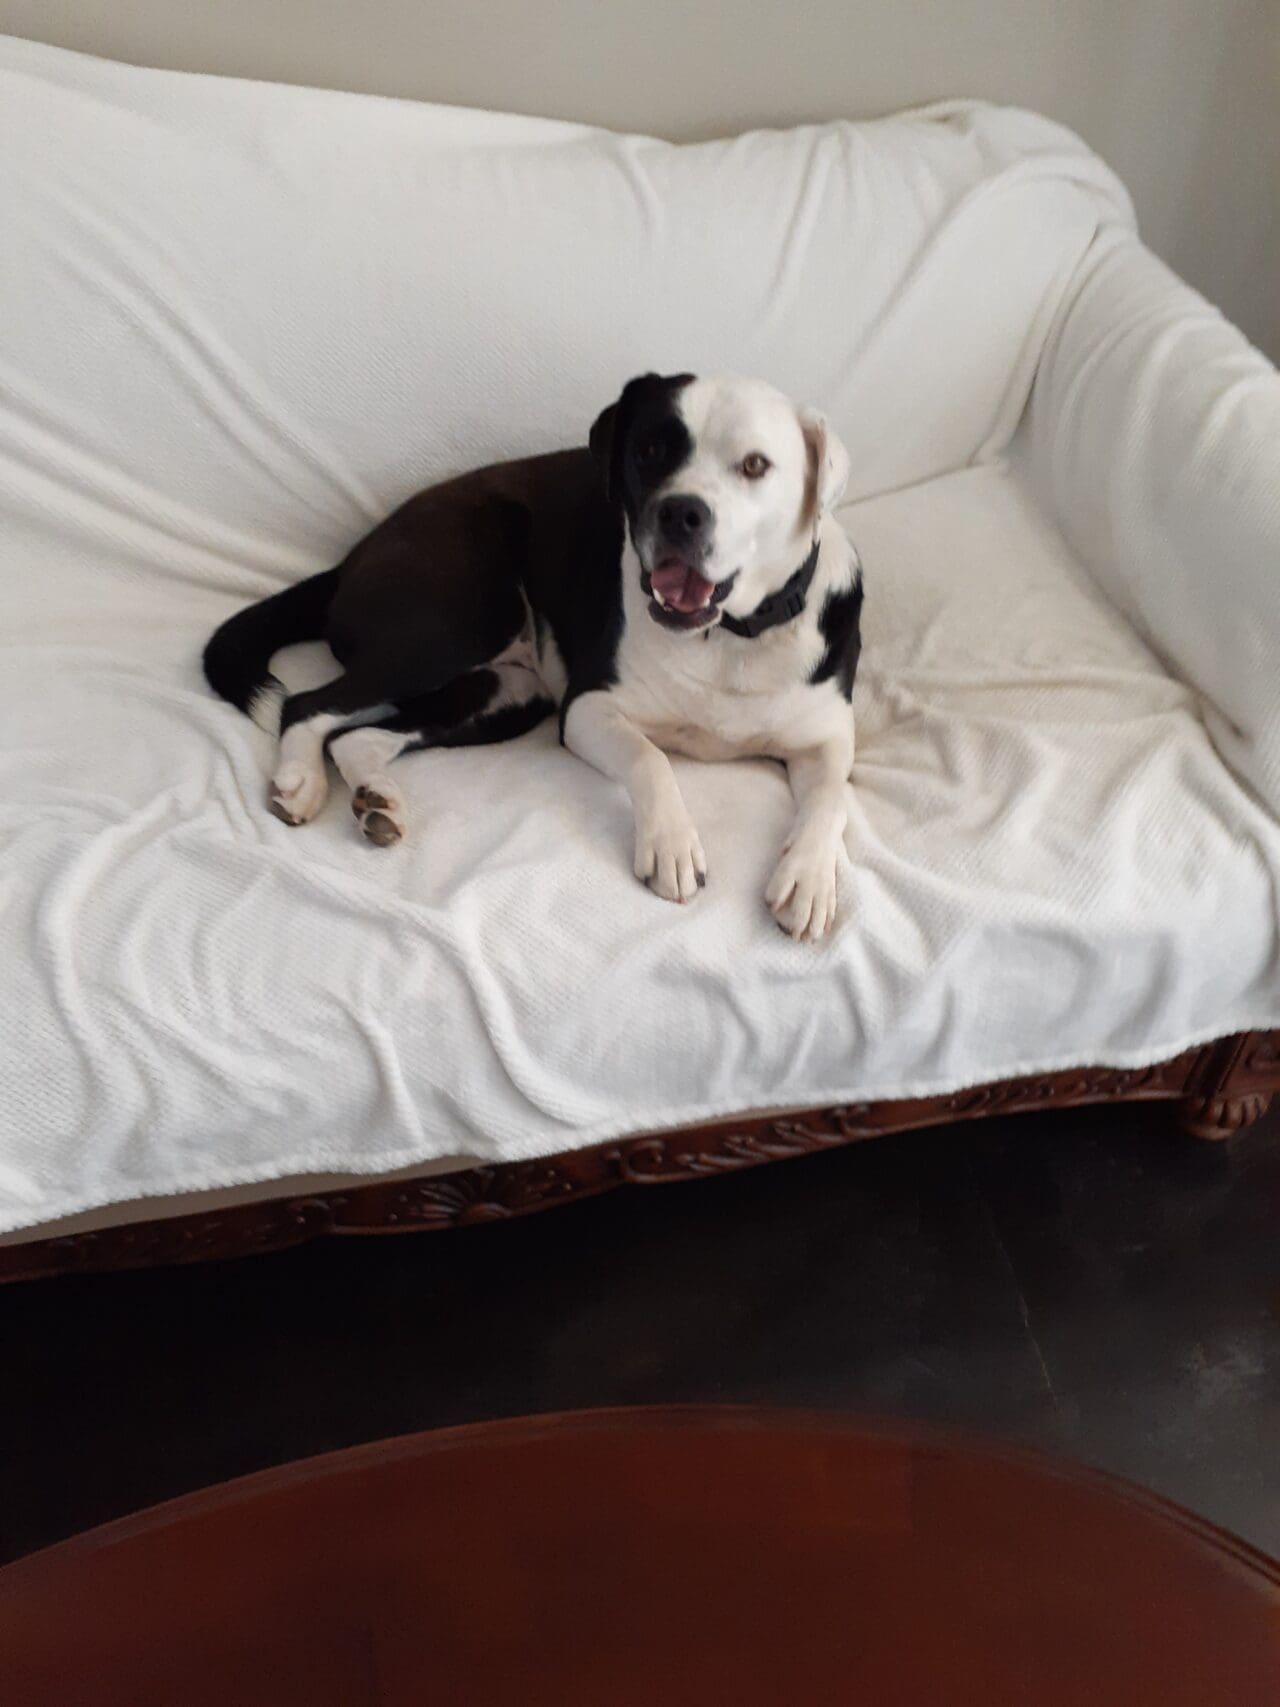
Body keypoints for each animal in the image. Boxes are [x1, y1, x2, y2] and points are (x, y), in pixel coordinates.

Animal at [203, 372, 863, 940]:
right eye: (649, 450)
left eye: (754, 465)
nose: (680, 512)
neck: (729, 636)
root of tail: (354, 555)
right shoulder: (588, 709)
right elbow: (651, 758)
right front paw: (671, 846)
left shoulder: (826, 738)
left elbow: (833, 794)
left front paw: (808, 879)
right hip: (453, 629)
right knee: (306, 705)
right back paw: (300, 781)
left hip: (506, 695)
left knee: (358, 735)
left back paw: (376, 801)